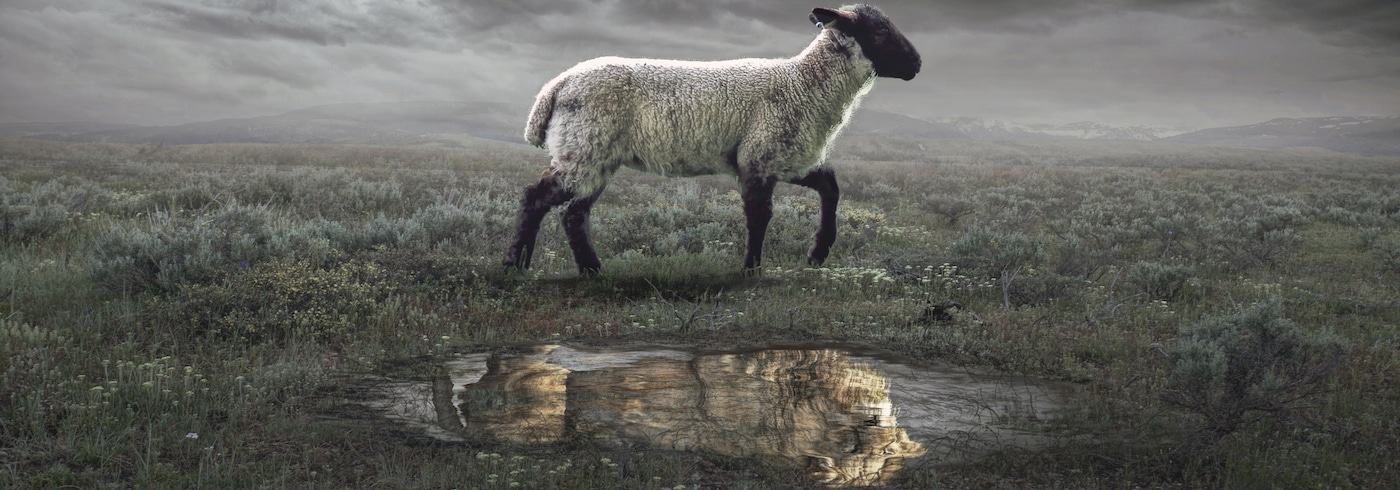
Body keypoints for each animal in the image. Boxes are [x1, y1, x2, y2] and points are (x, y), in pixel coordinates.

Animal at [504, 4, 921, 276]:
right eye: (880, 31)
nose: (917, 64)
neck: (804, 84)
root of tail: (555, 87)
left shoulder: (785, 157)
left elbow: (831, 187)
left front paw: (818, 253)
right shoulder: (759, 155)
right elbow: (759, 216)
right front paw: (751, 271)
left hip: (594, 155)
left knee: (573, 213)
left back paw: (592, 271)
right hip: (585, 146)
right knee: (537, 197)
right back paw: (515, 265)